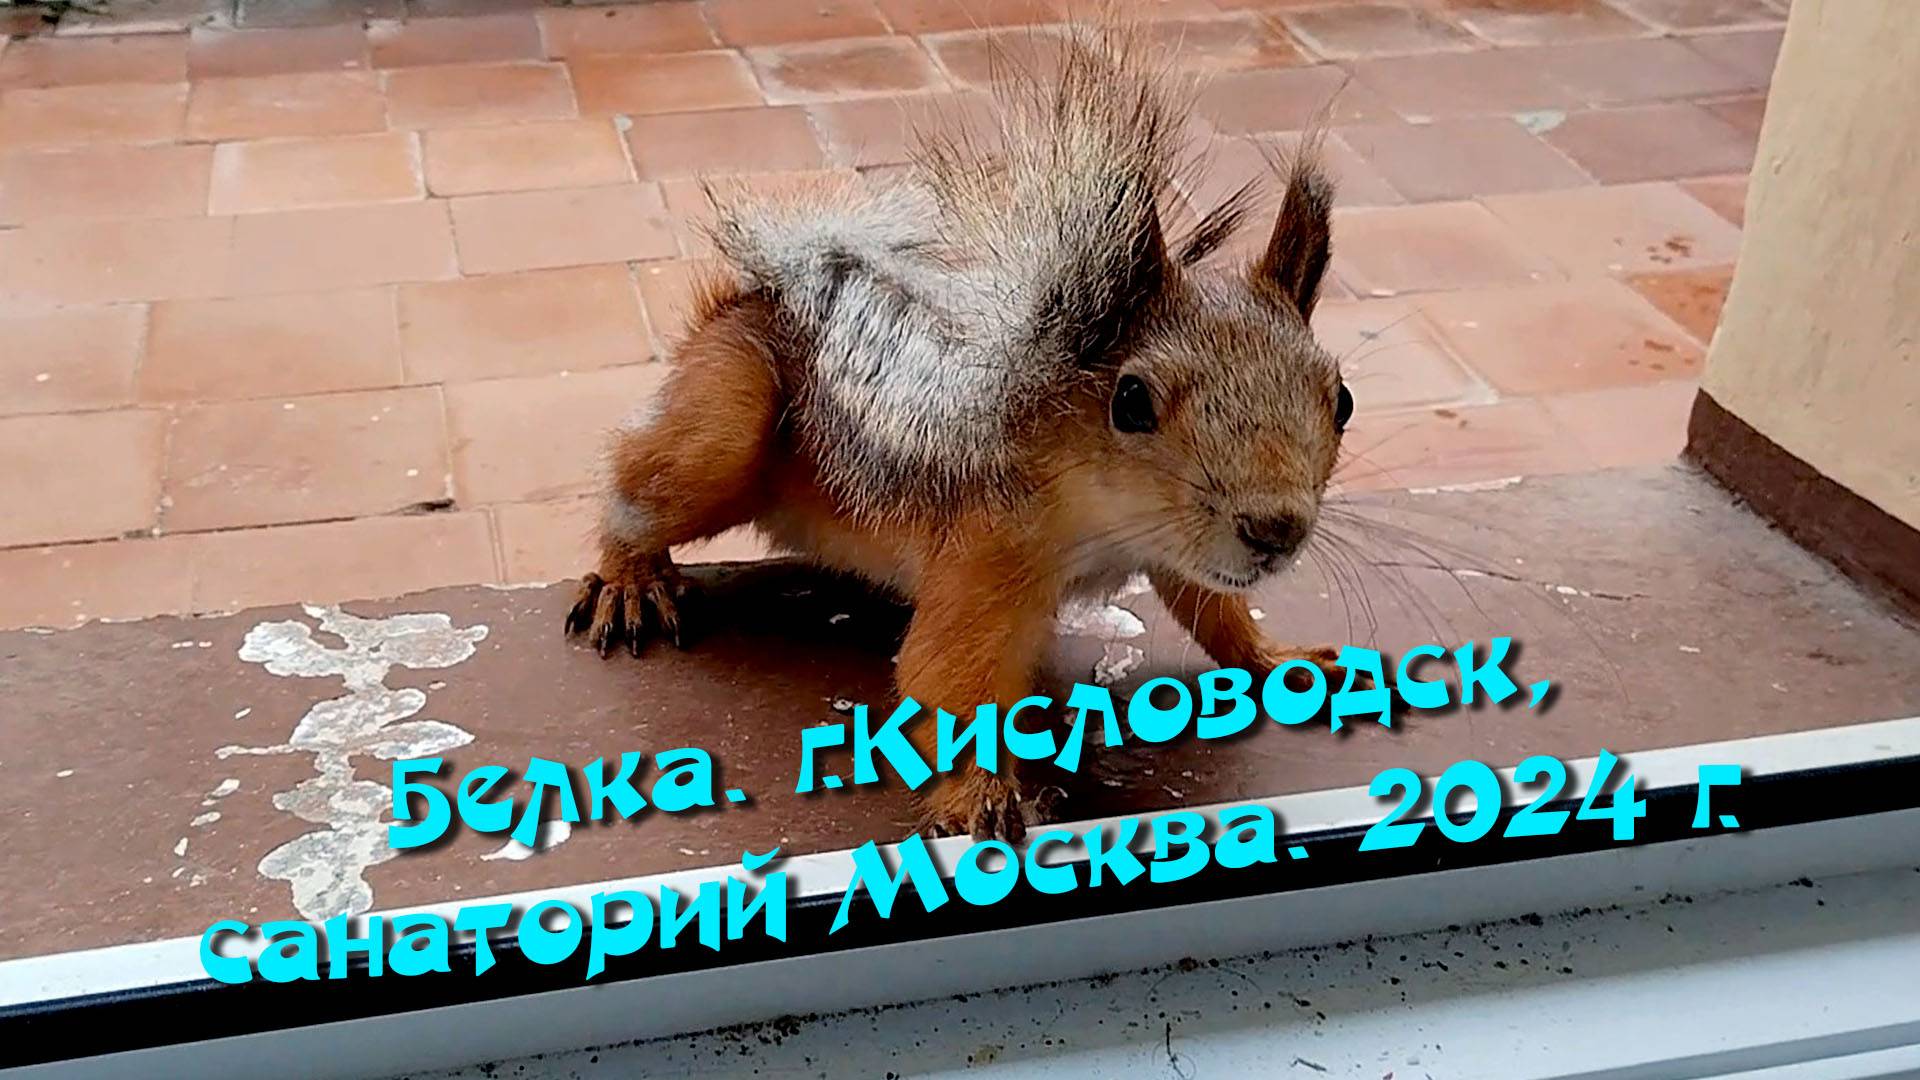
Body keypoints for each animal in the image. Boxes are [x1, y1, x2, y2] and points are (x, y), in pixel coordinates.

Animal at [564, 14, 1354, 843]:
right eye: (1132, 402)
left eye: (1343, 400)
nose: (1274, 529)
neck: (1104, 515)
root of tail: (744, 304)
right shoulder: (986, 551)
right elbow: (945, 677)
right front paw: (977, 799)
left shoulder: (1177, 548)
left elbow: (1215, 611)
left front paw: (1282, 659)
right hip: (721, 421)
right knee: (639, 482)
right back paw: (630, 577)